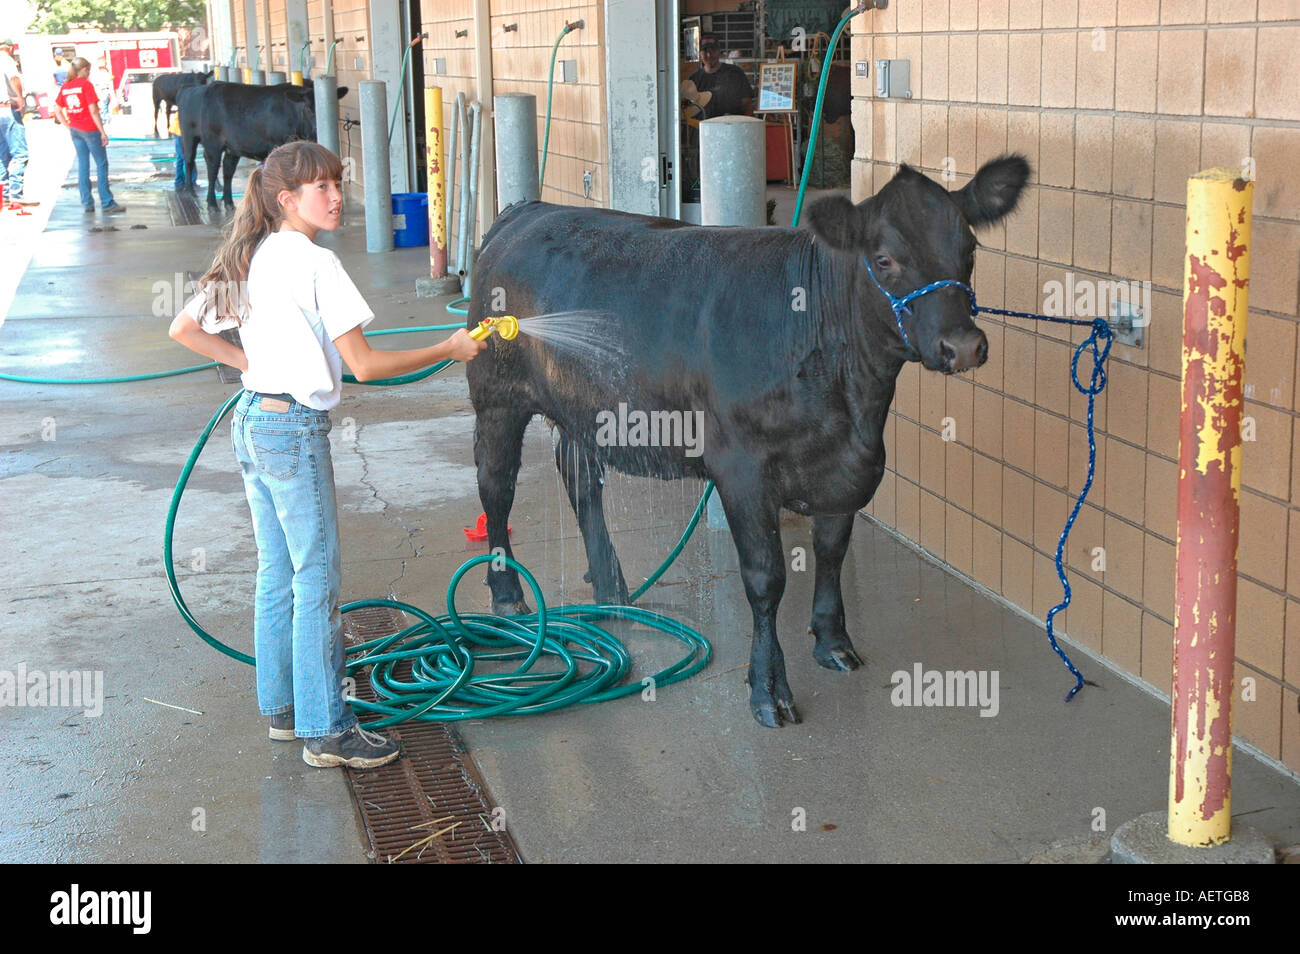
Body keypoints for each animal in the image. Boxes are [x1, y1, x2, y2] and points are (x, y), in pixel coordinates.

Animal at [178, 80, 349, 208]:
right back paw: (206, 199)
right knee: (205, 165)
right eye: (306, 107)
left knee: (227, 170)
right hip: (205, 141)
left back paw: (228, 202)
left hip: (232, 148)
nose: (316, 130)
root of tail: (213, 86)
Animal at [465, 154, 1030, 728]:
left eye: (970, 249)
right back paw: (508, 596)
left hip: (580, 403)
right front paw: (768, 688)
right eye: (884, 258)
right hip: (496, 395)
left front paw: (832, 642)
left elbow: (832, 553)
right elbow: (766, 578)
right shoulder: (742, 470)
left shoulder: (847, 466)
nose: (963, 346)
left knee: (580, 481)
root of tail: (526, 211)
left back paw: (611, 588)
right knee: (496, 487)